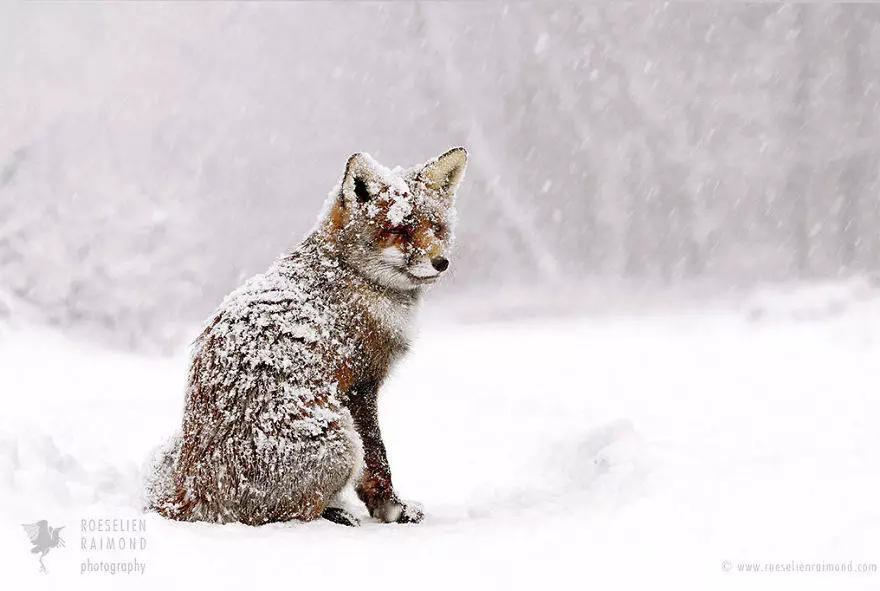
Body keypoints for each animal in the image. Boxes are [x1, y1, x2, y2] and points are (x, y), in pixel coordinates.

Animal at [144, 148, 468, 528]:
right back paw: (335, 514)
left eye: (436, 228)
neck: (349, 273)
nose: (441, 262)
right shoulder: (360, 385)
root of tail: (192, 495)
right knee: (289, 515)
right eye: (399, 230)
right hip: (341, 438)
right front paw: (390, 509)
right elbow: (378, 460)